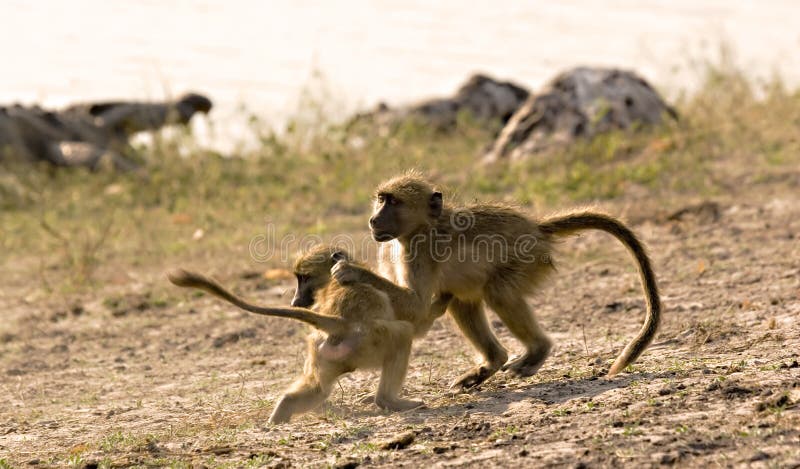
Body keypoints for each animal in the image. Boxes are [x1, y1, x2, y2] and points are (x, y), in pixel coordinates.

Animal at [168, 244, 450, 423]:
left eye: (303, 279)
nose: (294, 301)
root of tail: (340, 322)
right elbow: (419, 322)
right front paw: (442, 300)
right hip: (371, 339)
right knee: (403, 334)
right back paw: (389, 401)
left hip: (326, 351)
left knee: (317, 389)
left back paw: (280, 415)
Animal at [332, 172, 661, 389]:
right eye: (381, 199)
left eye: (393, 202)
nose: (374, 220)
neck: (421, 227)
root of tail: (536, 228)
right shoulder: (389, 247)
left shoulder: (419, 251)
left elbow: (417, 306)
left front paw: (352, 271)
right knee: (463, 302)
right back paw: (491, 363)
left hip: (528, 260)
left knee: (499, 293)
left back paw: (536, 351)